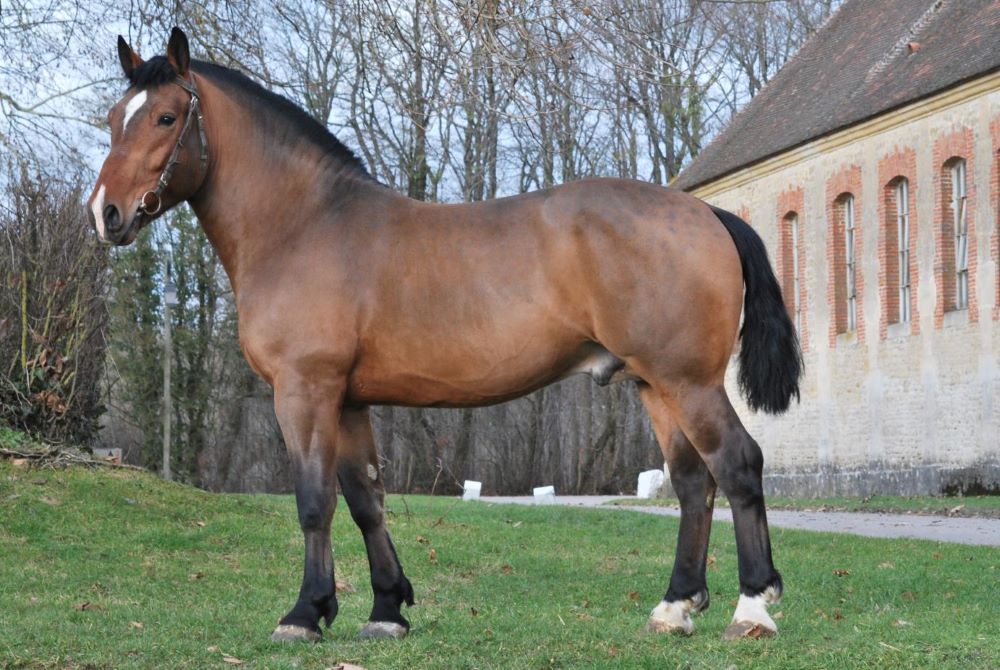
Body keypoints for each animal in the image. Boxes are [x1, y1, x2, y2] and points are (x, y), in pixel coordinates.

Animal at [87, 27, 801, 643]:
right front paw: (386, 609)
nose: (105, 214)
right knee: (692, 481)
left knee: (738, 465)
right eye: (115, 117)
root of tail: (704, 210)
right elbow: (366, 499)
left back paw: (753, 607)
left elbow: (315, 501)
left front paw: (304, 614)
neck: (305, 224)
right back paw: (674, 607)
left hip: (689, 382)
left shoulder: (305, 390)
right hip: (653, 385)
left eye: (166, 118)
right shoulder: (348, 399)